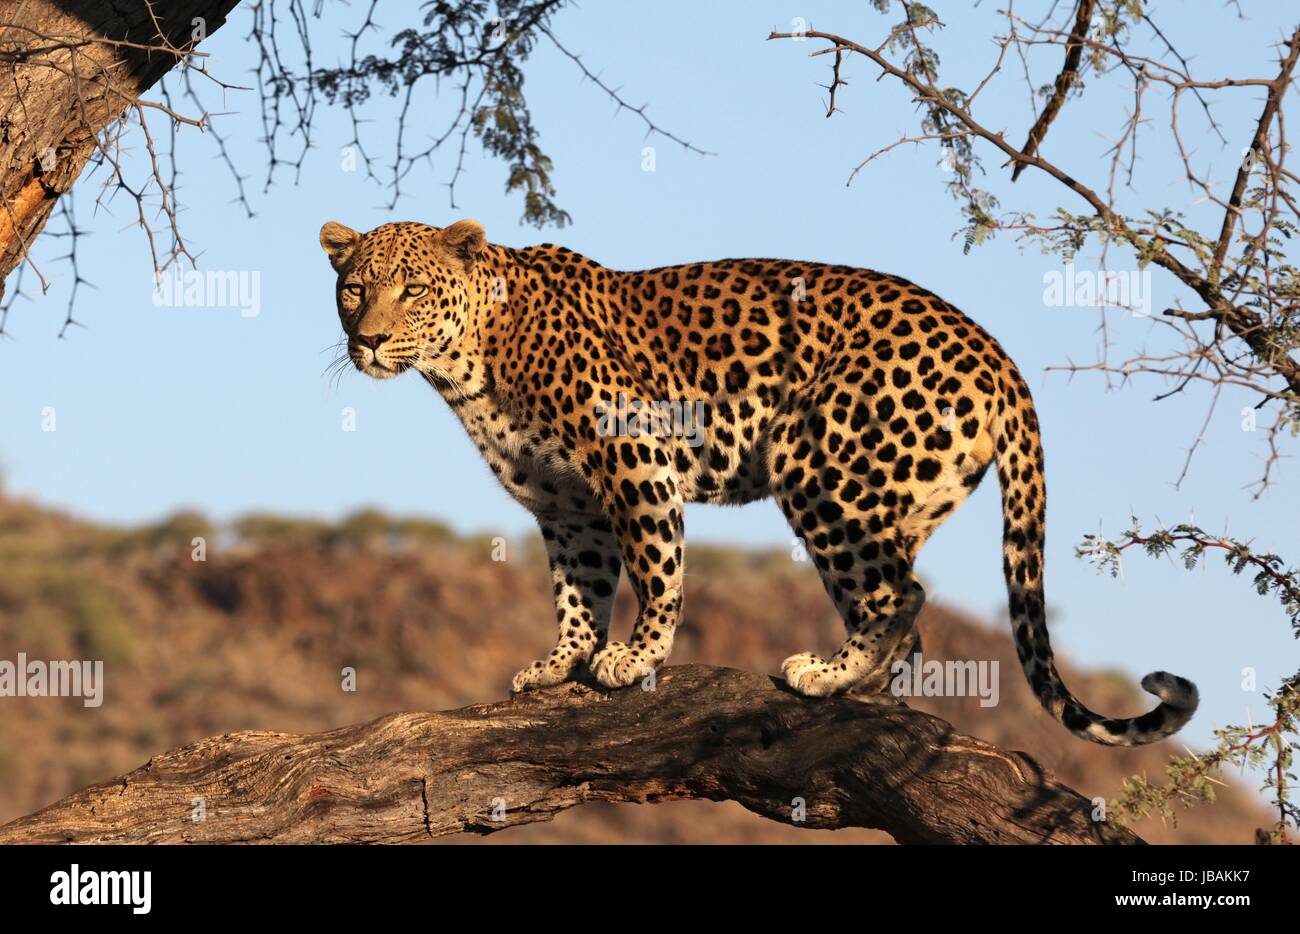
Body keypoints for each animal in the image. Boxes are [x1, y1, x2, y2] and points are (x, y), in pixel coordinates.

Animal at [318, 217, 1199, 746]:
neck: (470, 360)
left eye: (412, 288)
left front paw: (633, 656)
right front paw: (562, 660)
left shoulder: (632, 456)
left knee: (903, 595)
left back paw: (830, 675)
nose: (369, 340)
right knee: (903, 604)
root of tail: (997, 353)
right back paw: (865, 690)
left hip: (821, 467)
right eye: (354, 287)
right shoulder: (566, 505)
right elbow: (579, 588)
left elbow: (655, 566)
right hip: (899, 496)